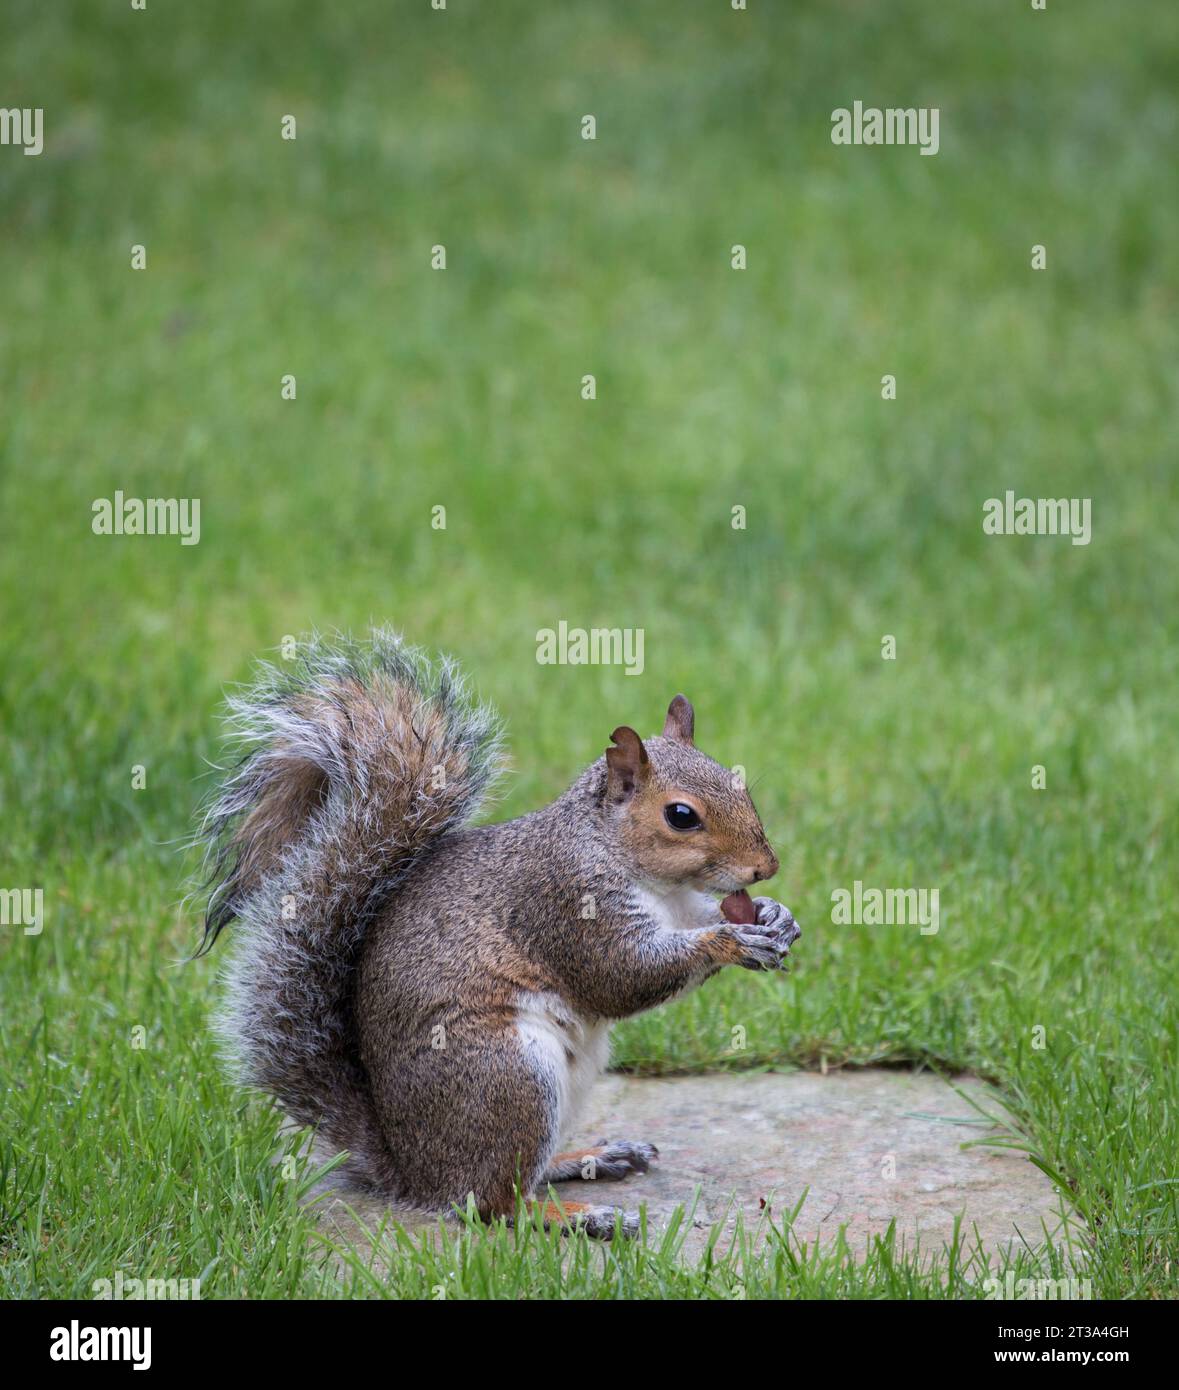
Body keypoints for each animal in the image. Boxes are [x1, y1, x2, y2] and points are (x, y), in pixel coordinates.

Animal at [197, 629, 801, 1240]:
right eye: (681, 816)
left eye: (739, 786)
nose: (765, 868)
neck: (635, 867)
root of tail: (412, 1174)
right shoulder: (566, 903)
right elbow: (620, 977)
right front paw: (733, 941)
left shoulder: (678, 906)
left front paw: (774, 916)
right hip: (509, 1075)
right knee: (490, 1202)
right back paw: (581, 1216)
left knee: (520, 1177)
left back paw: (588, 1158)